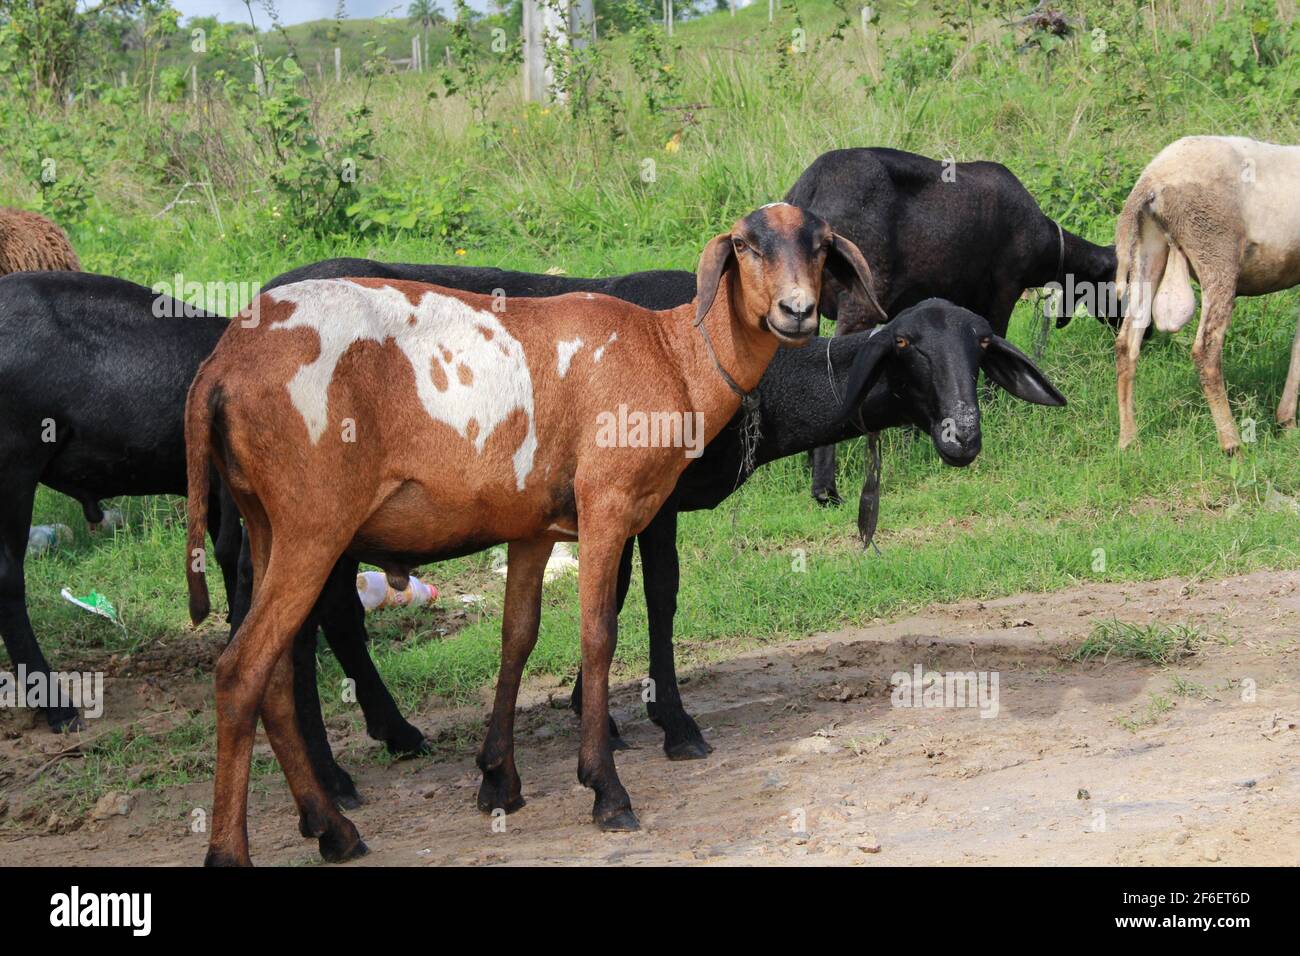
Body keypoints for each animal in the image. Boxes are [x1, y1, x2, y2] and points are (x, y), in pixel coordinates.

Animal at [183, 204, 877, 865]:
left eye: (822, 246)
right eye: (743, 244)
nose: (797, 312)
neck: (672, 353)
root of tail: (218, 368)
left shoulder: (533, 526)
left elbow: (517, 638)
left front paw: (498, 780)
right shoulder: (607, 502)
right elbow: (599, 634)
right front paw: (605, 788)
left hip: (266, 520)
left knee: (273, 677)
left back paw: (334, 830)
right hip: (314, 522)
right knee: (241, 671)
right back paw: (235, 848)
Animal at [1114, 135, 1300, 453]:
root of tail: (1152, 178)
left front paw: (1286, 424)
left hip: (1147, 250)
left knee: (1127, 343)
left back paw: (1128, 440)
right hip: (1215, 249)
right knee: (1206, 349)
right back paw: (1232, 443)